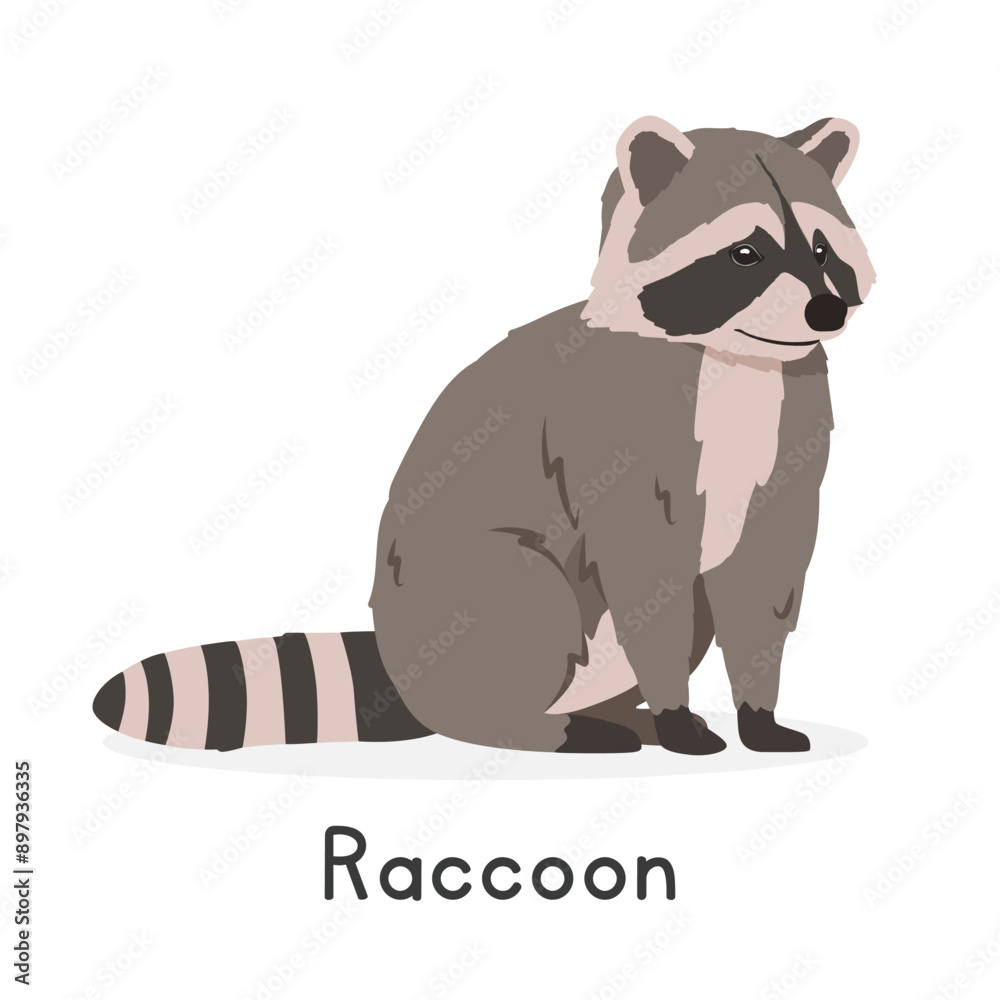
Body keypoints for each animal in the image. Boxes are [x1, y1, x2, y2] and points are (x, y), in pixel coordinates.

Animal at [93, 115, 874, 756]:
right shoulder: (615, 426)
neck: (740, 359)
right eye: (746, 253)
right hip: (465, 594)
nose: (826, 310)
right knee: (526, 595)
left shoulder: (792, 432)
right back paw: (548, 728)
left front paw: (758, 715)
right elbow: (646, 575)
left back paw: (619, 716)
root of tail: (401, 669)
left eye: (821, 249)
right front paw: (681, 718)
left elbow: (765, 576)